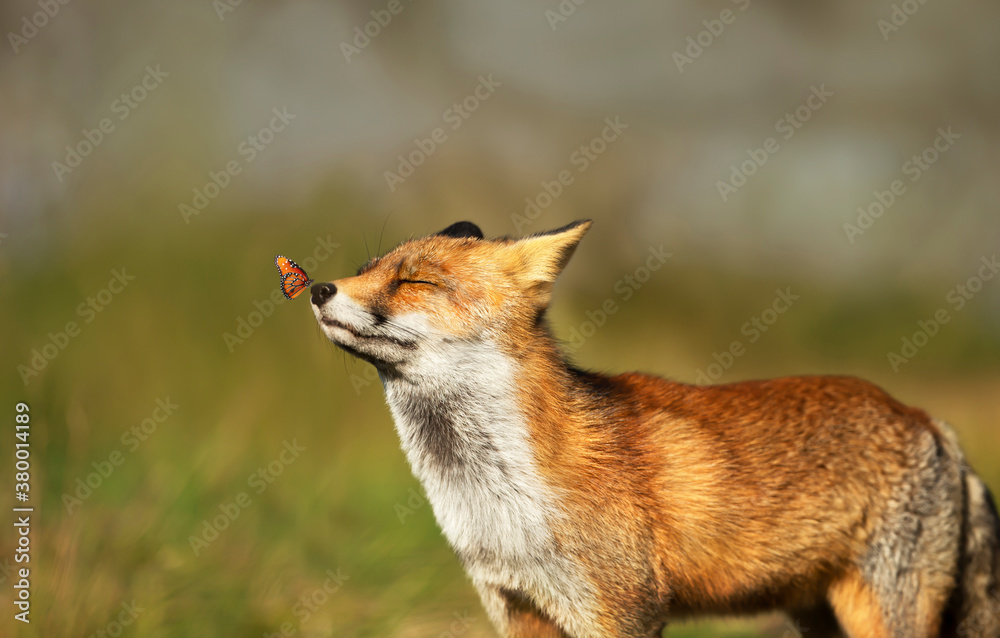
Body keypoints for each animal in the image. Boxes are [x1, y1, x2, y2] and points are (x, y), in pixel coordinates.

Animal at [309, 220, 1000, 638]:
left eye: (415, 281)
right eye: (368, 267)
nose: (317, 288)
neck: (499, 496)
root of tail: (925, 419)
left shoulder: (621, 610)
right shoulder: (517, 607)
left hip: (882, 614)